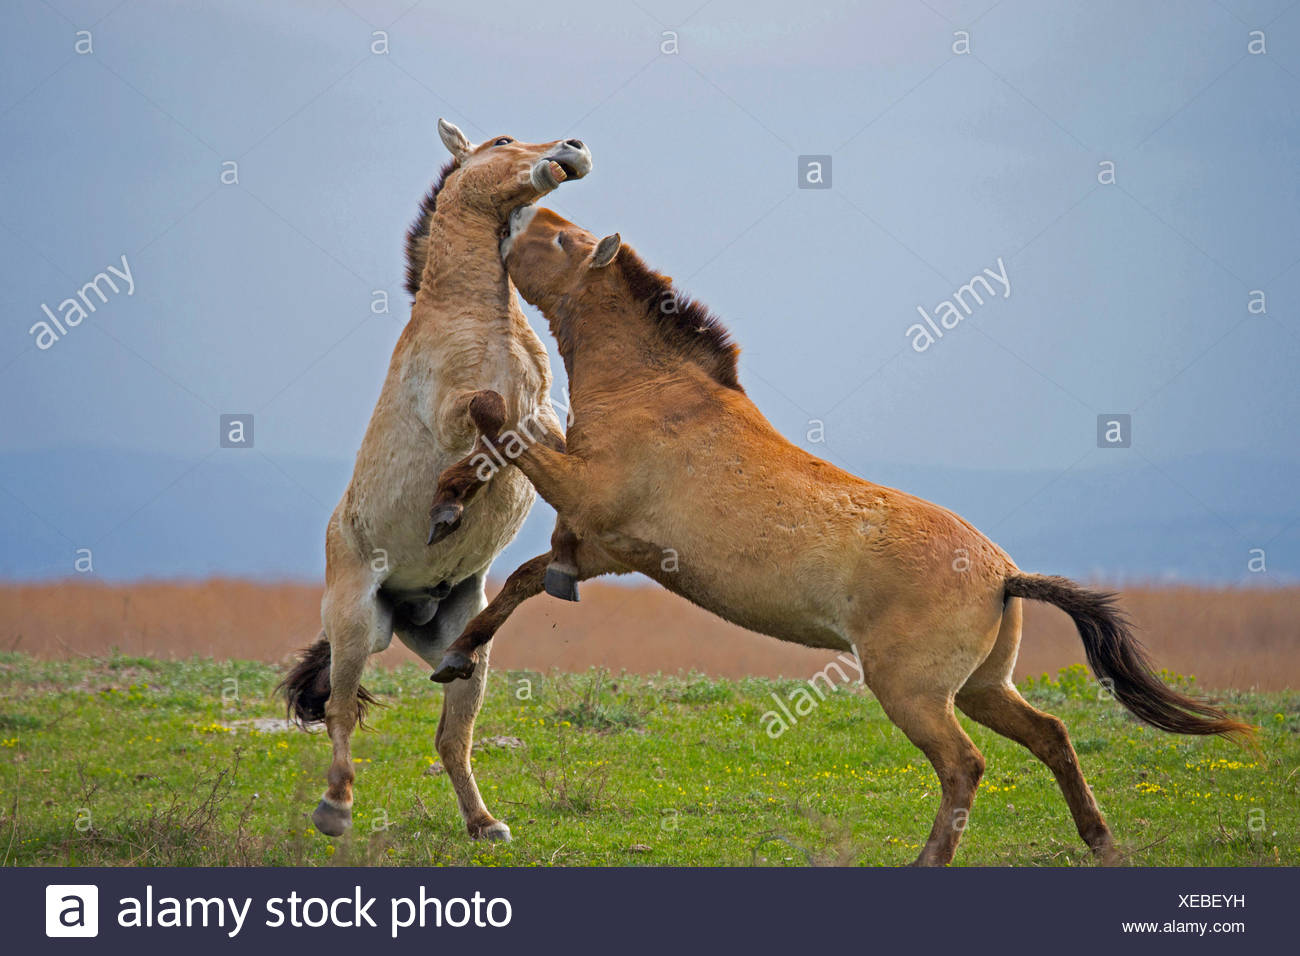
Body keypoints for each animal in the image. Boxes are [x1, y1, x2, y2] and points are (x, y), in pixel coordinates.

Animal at [277, 123, 592, 842]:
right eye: (501, 140)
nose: (573, 149)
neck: (480, 320)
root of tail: (405, 608)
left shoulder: (544, 419)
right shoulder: (458, 416)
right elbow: (488, 423)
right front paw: (447, 506)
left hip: (462, 644)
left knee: (453, 734)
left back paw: (485, 823)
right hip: (355, 628)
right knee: (339, 712)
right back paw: (335, 809)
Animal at [425, 204, 1254, 865]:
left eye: (564, 239)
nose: (511, 223)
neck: (655, 393)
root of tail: (1002, 575)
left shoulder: (590, 504)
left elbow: (501, 423)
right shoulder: (602, 550)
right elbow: (524, 577)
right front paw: (457, 639)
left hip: (912, 692)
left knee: (965, 765)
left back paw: (929, 861)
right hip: (983, 686)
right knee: (1049, 734)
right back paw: (1101, 841)